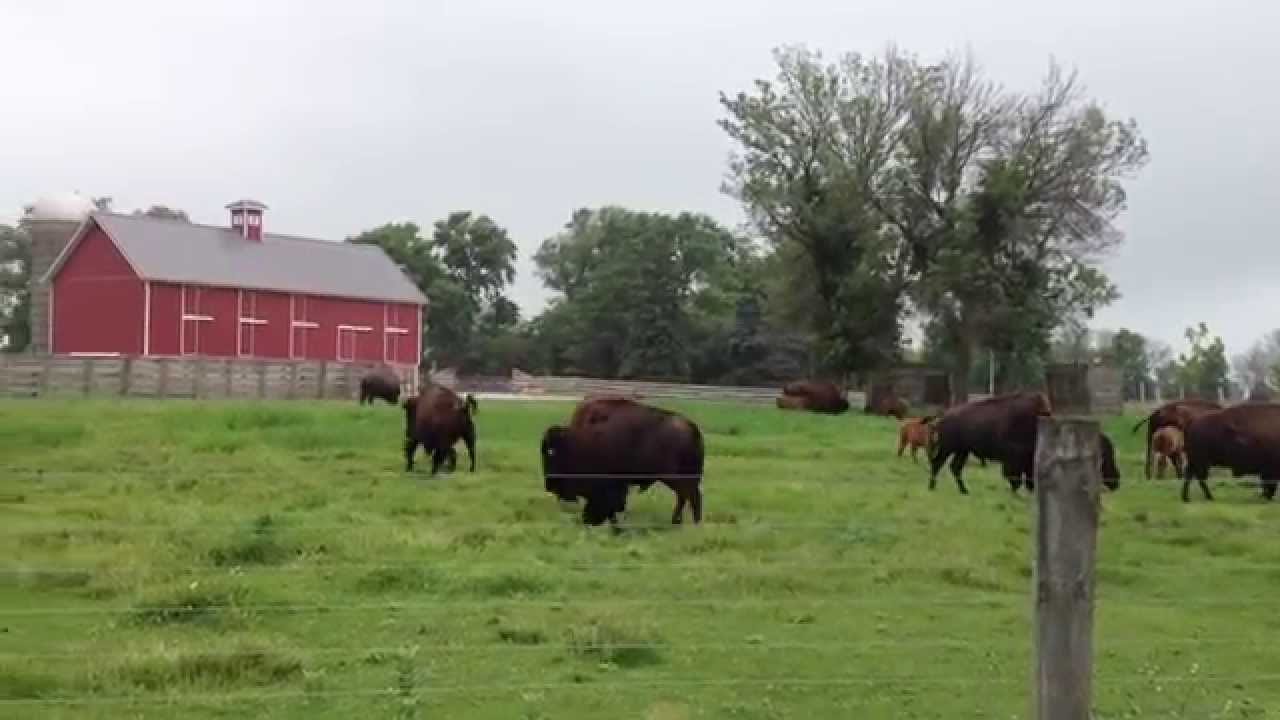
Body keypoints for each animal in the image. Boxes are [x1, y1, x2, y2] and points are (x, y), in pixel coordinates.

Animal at [541, 397, 704, 526]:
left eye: (551, 455)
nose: (550, 486)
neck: (578, 442)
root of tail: (692, 428)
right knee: (685, 497)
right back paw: (677, 521)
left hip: (676, 478)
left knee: (691, 496)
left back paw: (693, 523)